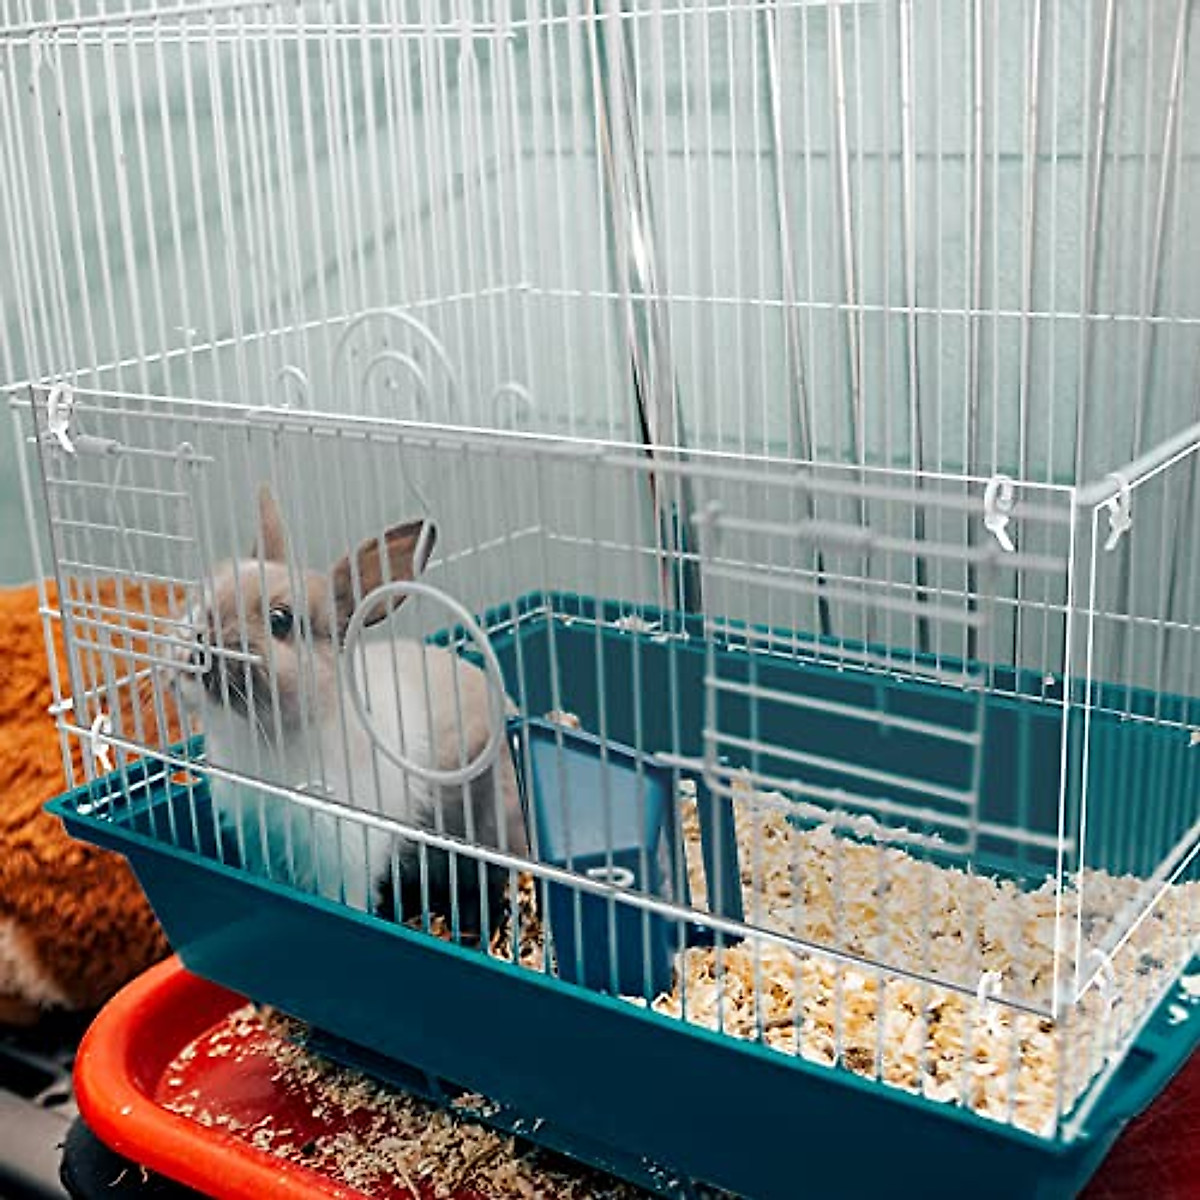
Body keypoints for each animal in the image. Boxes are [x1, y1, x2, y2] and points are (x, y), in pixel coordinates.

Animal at [173, 484, 529, 941]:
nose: (196, 649)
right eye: (204, 597)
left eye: (280, 620)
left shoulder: (343, 855)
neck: (263, 732)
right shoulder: (259, 843)